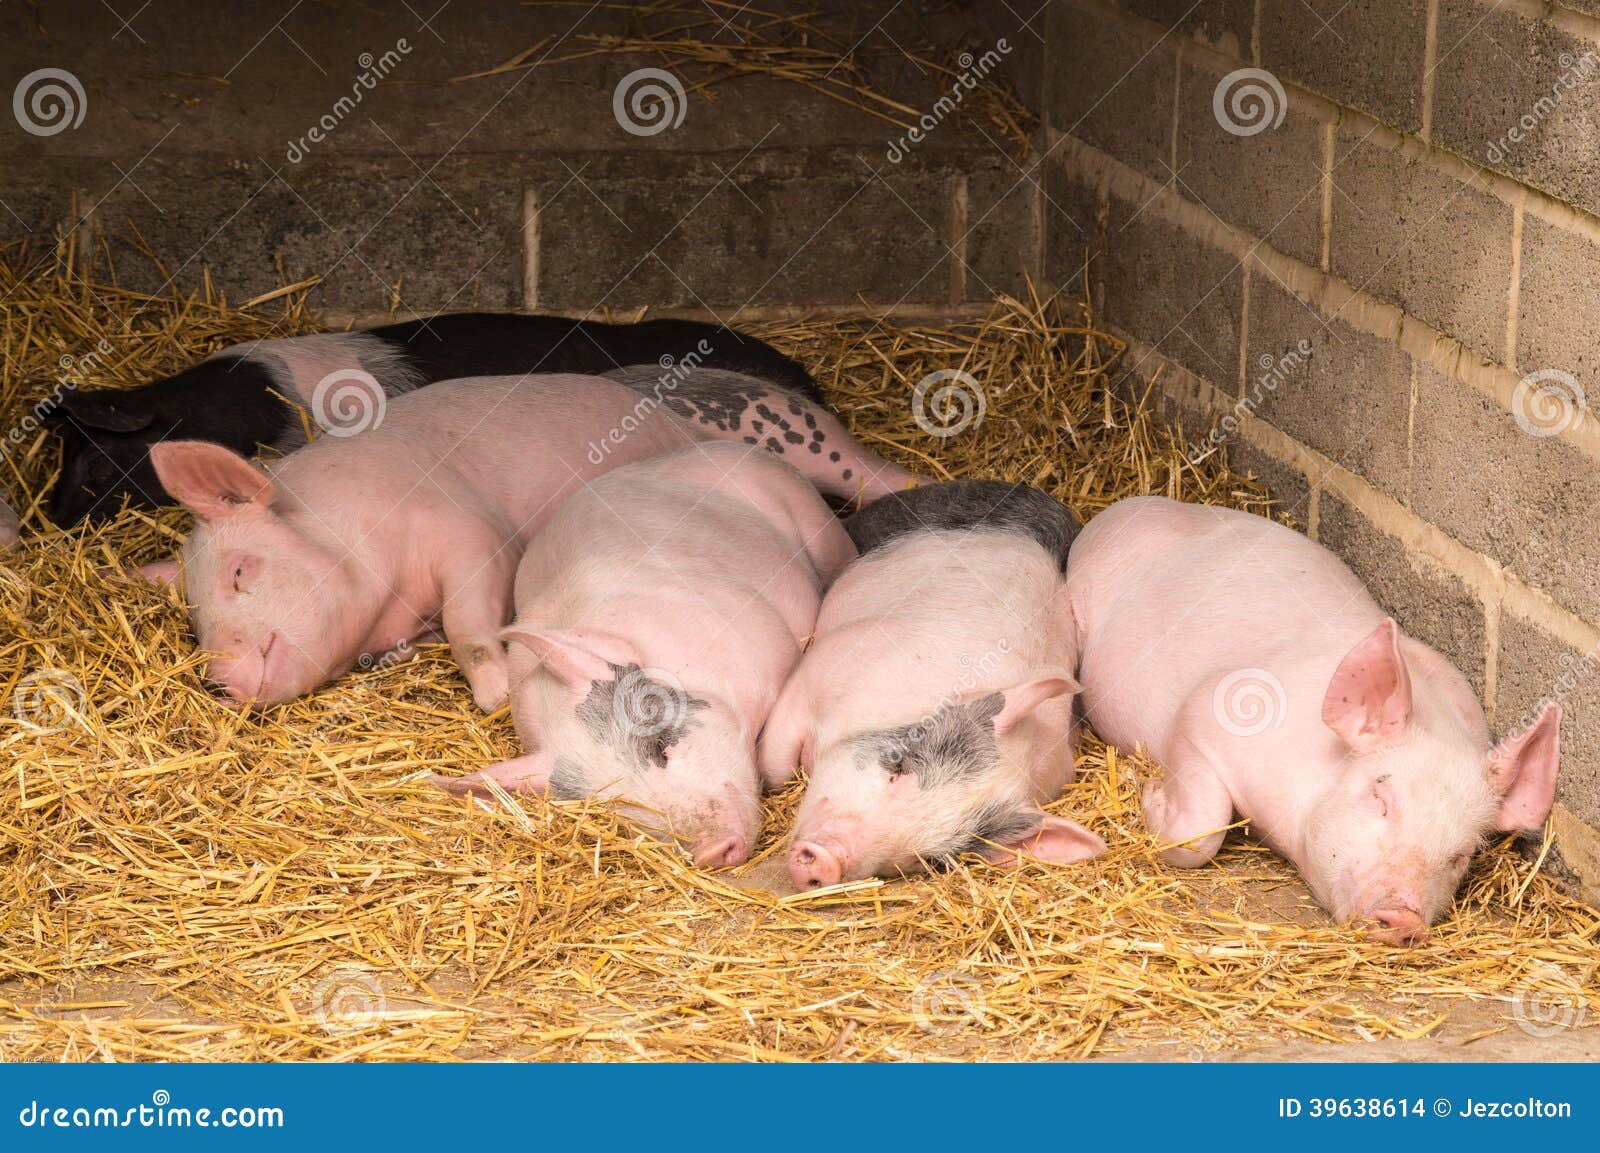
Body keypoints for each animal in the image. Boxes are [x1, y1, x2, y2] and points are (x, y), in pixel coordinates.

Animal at [142, 367, 917, 712]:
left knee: (878, 473)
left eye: (240, 571)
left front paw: (494, 695)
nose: (216, 681)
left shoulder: (467, 531)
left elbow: (471, 623)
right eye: (193, 617)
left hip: (794, 425)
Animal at [1066, 496, 1562, 945]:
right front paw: (1150, 793)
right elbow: (1201, 831)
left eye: (1462, 854)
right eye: (1381, 797)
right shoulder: (1202, 715)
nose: (1404, 917)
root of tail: (1133, 504)